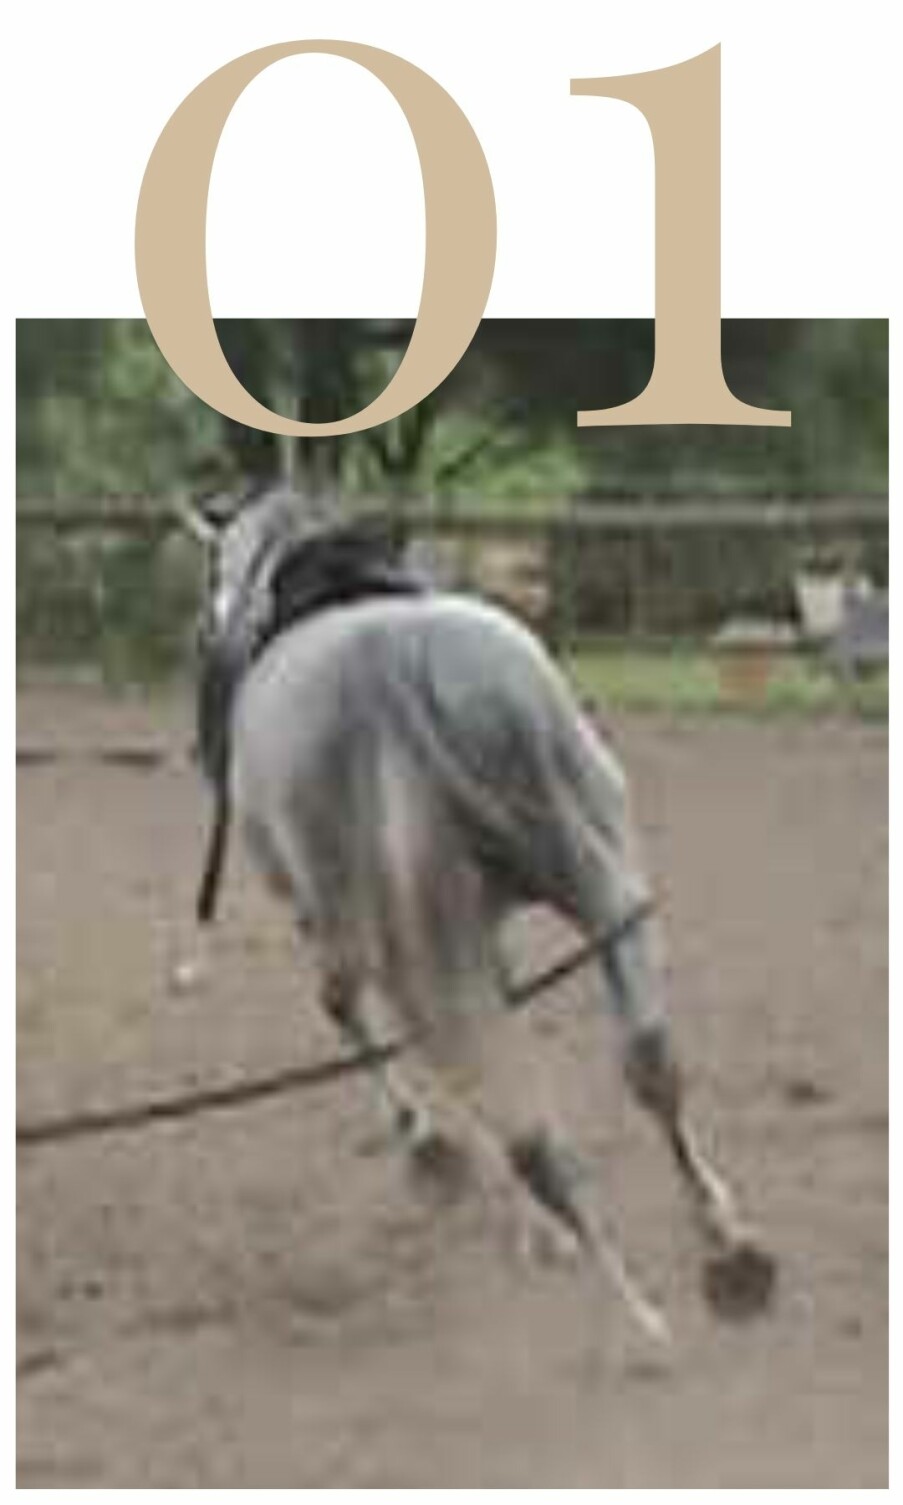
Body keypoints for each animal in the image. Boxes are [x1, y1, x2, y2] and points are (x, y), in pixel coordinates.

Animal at [177, 485, 775, 1336]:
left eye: (208, 582)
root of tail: (392, 675)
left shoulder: (323, 920)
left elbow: (344, 1013)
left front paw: (430, 1150)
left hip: (400, 936)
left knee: (507, 1115)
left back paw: (635, 1312)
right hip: (601, 878)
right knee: (646, 1062)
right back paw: (724, 1248)